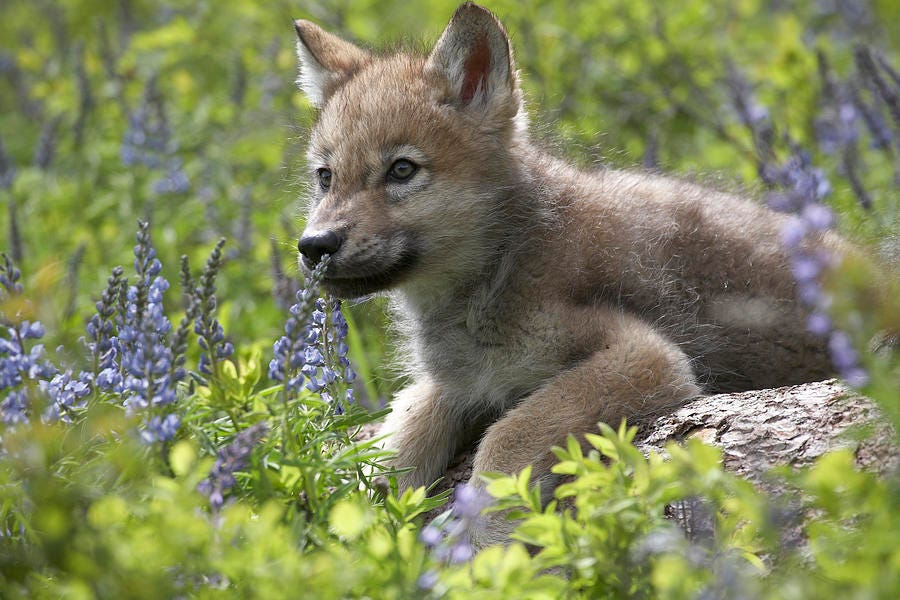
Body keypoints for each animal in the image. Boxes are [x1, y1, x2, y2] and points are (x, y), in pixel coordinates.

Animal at [292, 3, 844, 546]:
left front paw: (495, 548)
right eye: (325, 177)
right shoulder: (459, 384)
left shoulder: (646, 358)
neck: (496, 273)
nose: (313, 246)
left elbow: (507, 440)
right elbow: (399, 439)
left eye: (402, 170)